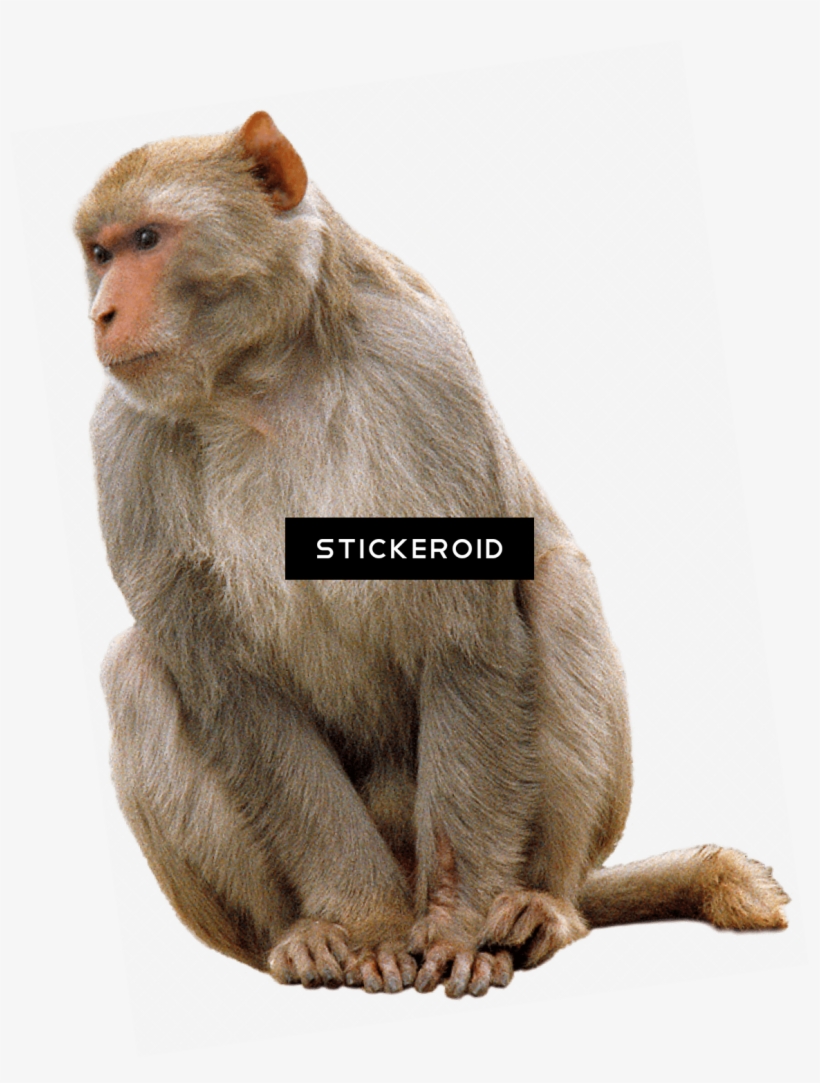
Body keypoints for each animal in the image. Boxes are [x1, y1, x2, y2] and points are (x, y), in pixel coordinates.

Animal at [75, 111, 788, 998]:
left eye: (146, 238)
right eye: (98, 252)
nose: (102, 313)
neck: (259, 381)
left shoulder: (423, 374)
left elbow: (465, 638)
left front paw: (454, 927)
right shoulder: (123, 443)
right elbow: (235, 694)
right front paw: (366, 925)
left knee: (556, 585)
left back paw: (539, 908)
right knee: (136, 670)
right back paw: (299, 934)